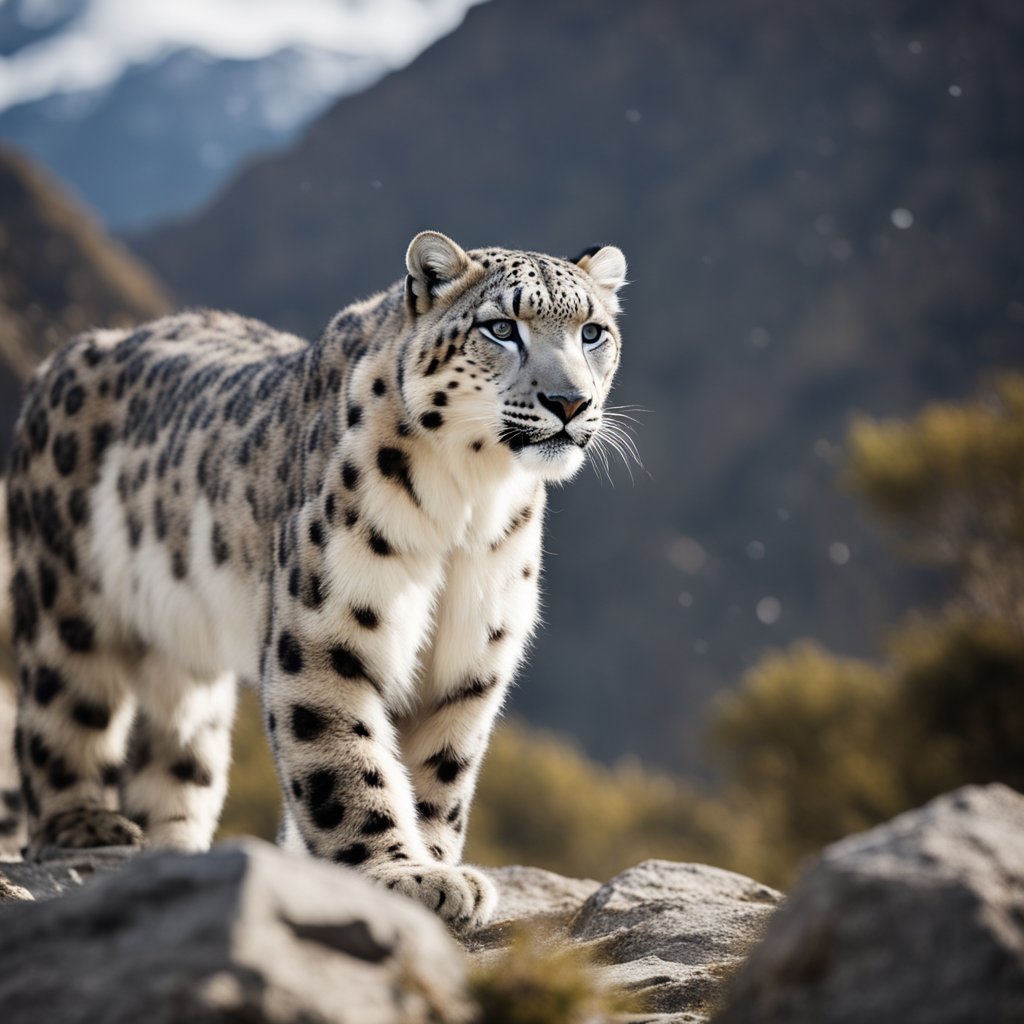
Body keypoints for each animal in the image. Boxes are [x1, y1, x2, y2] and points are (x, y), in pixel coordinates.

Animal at [4, 231, 627, 930]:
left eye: (593, 332)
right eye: (501, 327)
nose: (570, 402)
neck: (471, 505)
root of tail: (63, 357)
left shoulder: (470, 658)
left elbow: (439, 772)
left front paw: (437, 866)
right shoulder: (328, 629)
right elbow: (347, 763)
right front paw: (404, 875)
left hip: (185, 657)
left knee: (177, 754)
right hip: (63, 602)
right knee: (61, 713)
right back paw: (87, 825)